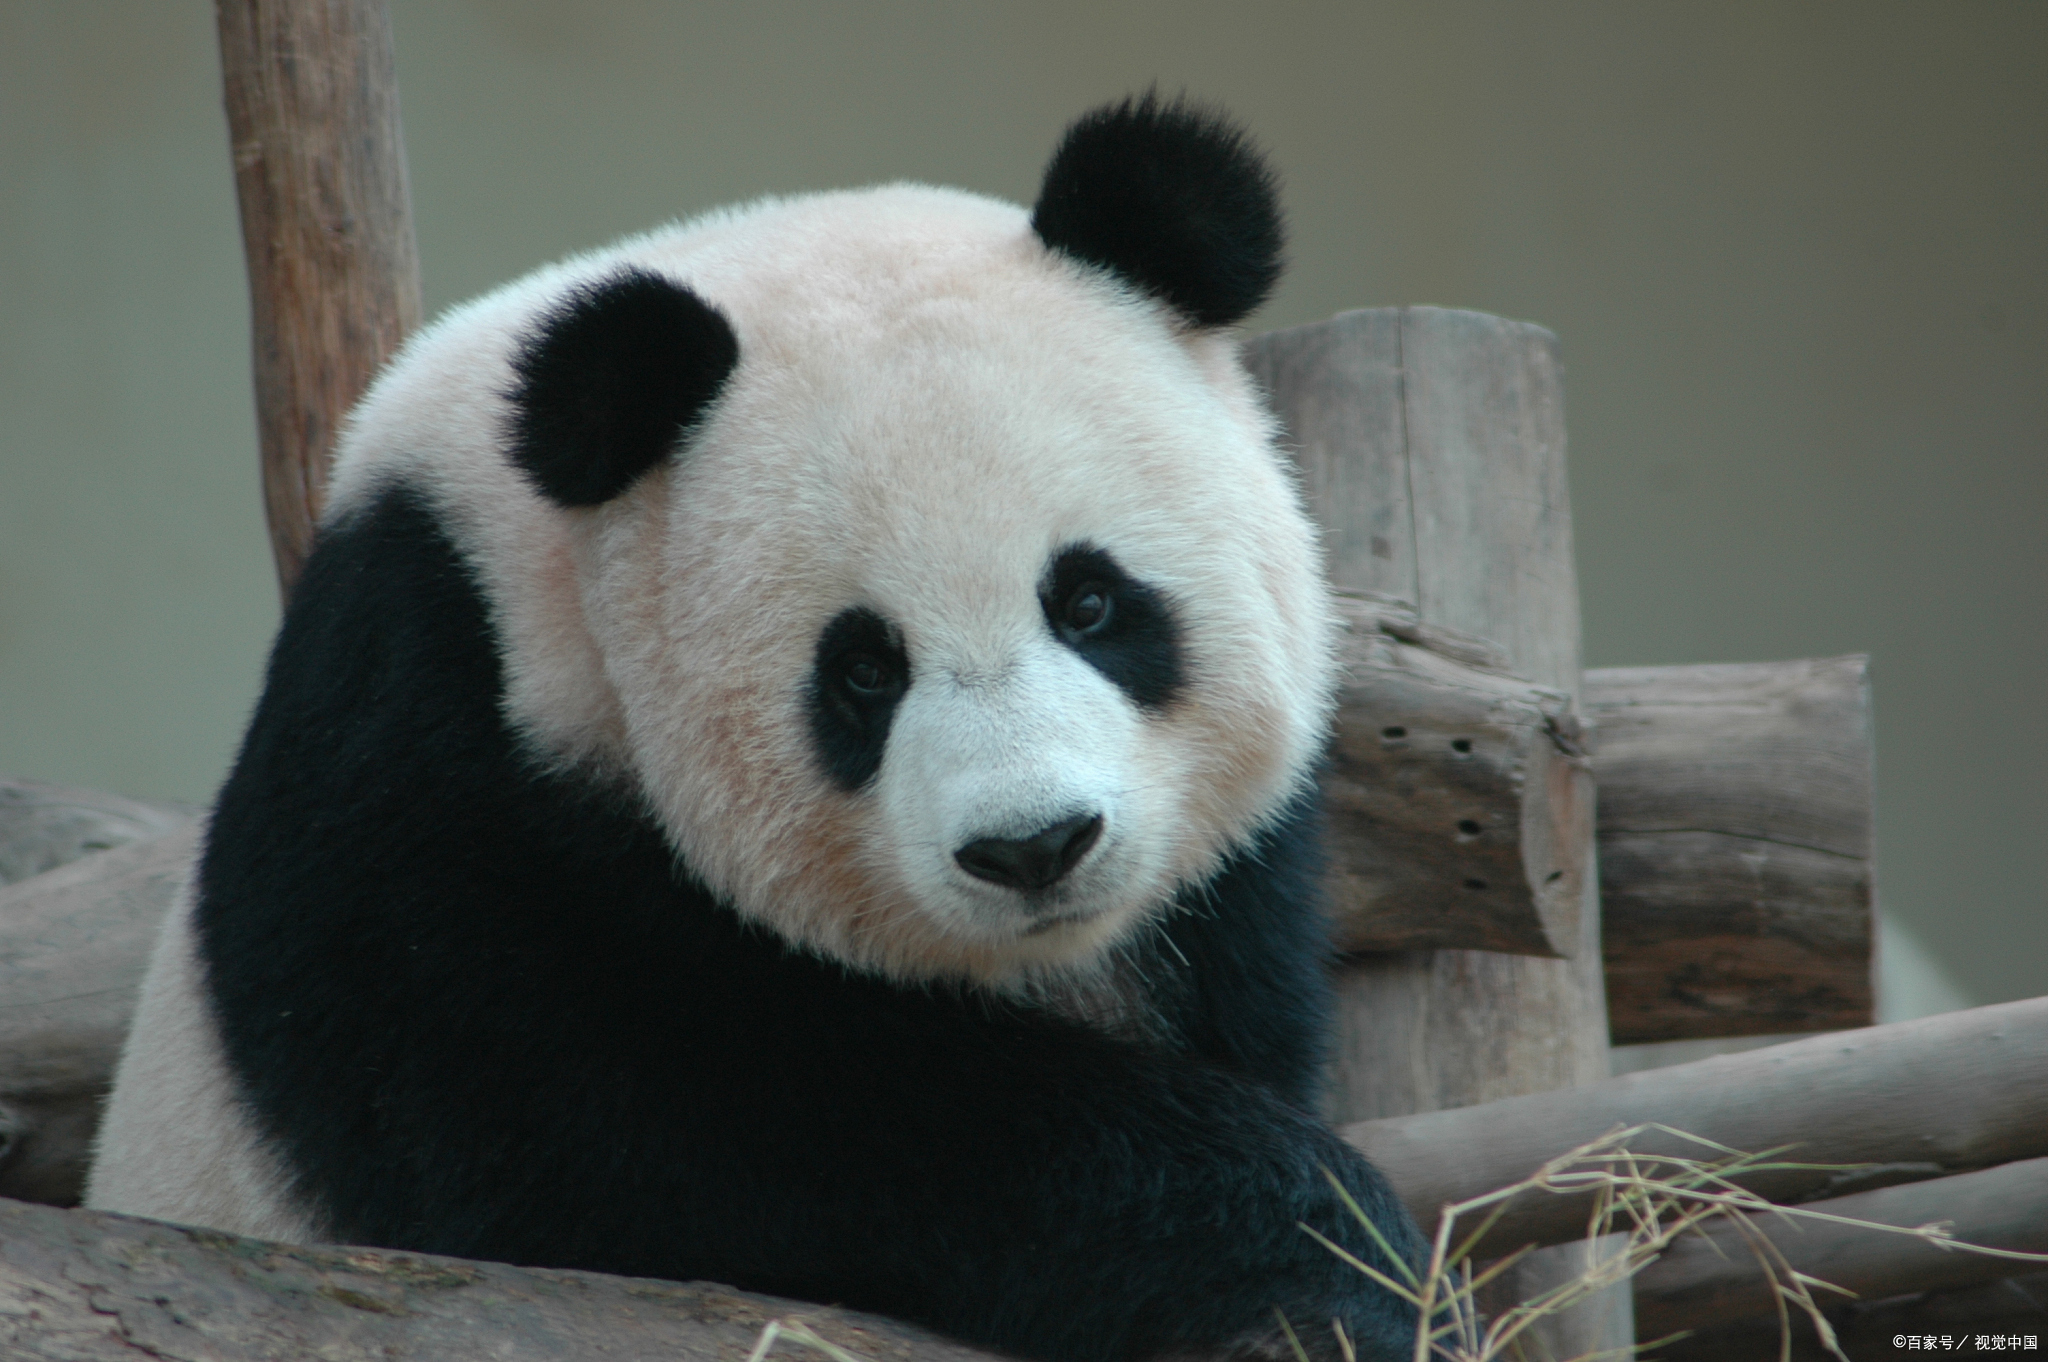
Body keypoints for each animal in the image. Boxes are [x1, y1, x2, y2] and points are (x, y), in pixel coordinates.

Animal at [87, 95, 1428, 1360]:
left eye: (1089, 601)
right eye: (863, 671)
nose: (1033, 847)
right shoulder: (420, 756)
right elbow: (676, 1119)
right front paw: (1308, 1249)